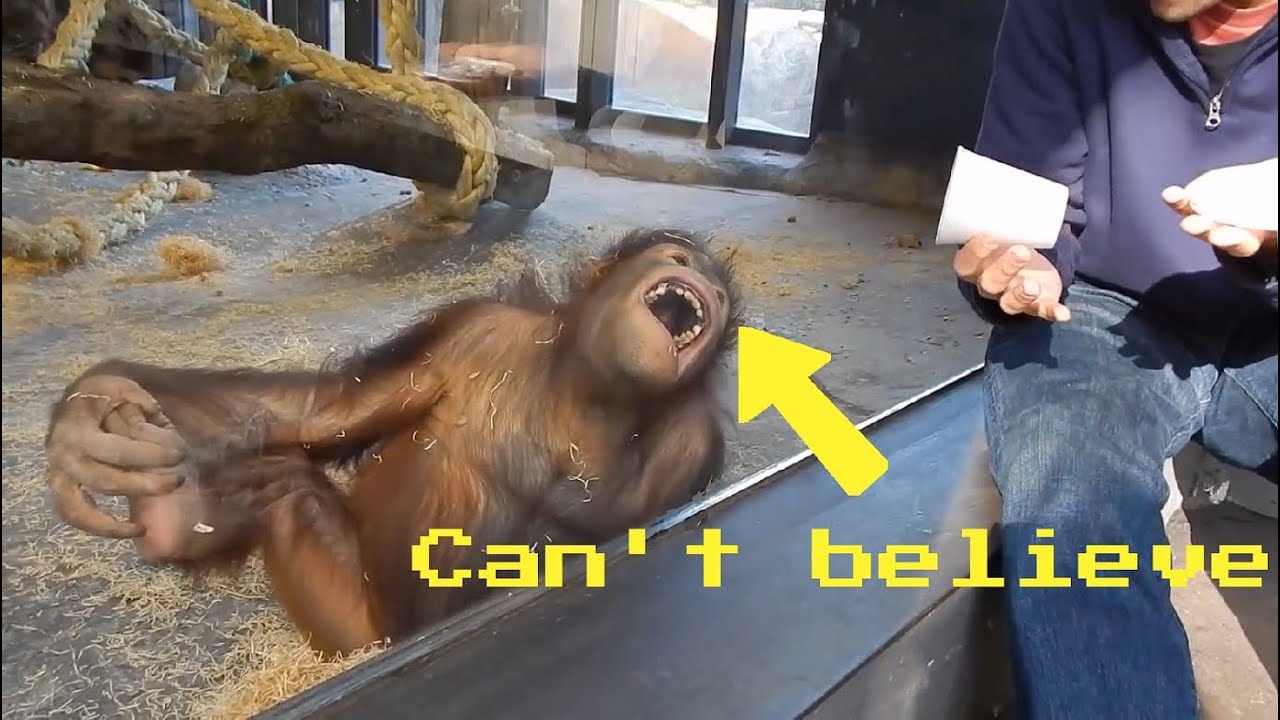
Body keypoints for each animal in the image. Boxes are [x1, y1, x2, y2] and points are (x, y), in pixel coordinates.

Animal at [43, 228, 745, 657]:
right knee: (280, 486)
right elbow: (324, 411)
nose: (704, 286)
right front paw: (88, 415)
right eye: (680, 261)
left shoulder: (691, 443)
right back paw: (171, 515)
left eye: (713, 285)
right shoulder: (468, 331)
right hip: (359, 626)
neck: (591, 387)